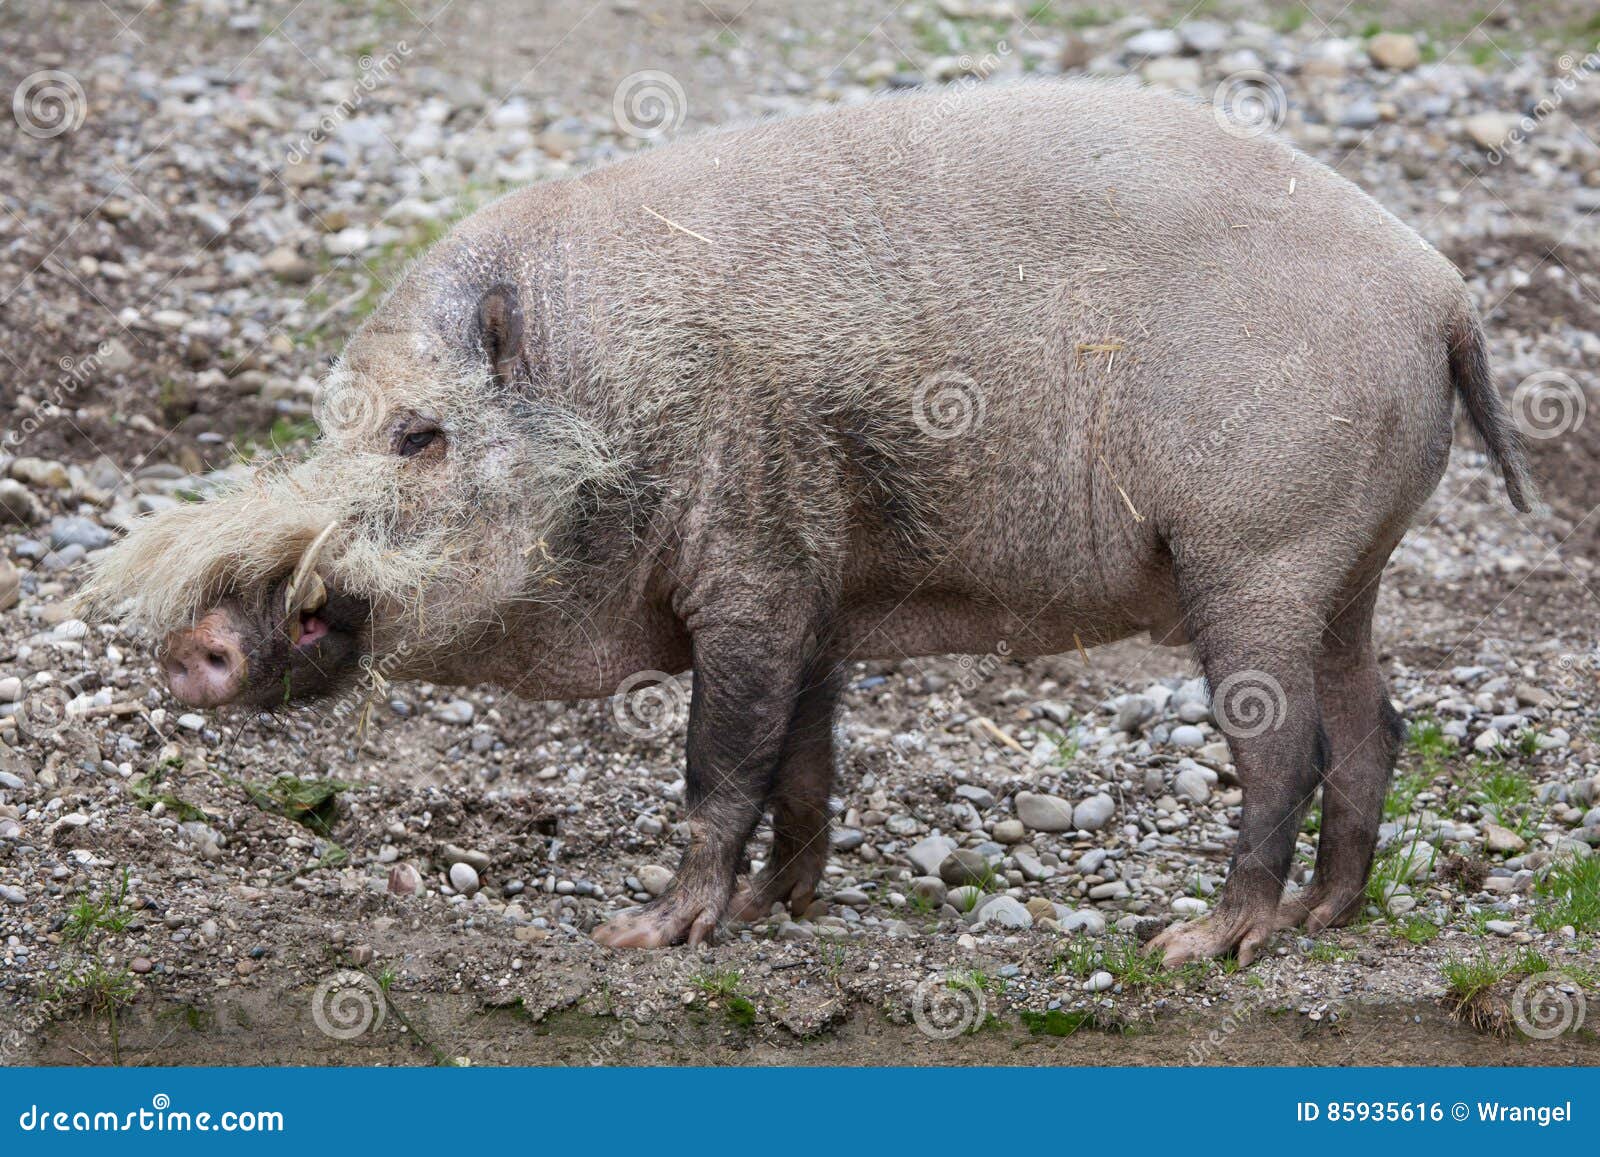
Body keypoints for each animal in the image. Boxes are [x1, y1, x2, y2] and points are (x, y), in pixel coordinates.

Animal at [83, 79, 1533, 963]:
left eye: (418, 436)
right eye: (332, 426)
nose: (194, 639)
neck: (618, 399)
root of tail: (1442, 290)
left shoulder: (756, 575)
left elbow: (719, 762)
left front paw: (646, 935)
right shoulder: (821, 599)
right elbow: (803, 761)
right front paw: (781, 909)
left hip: (1257, 550)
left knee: (1287, 746)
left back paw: (1202, 941)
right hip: (1347, 561)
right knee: (1377, 720)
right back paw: (1331, 919)